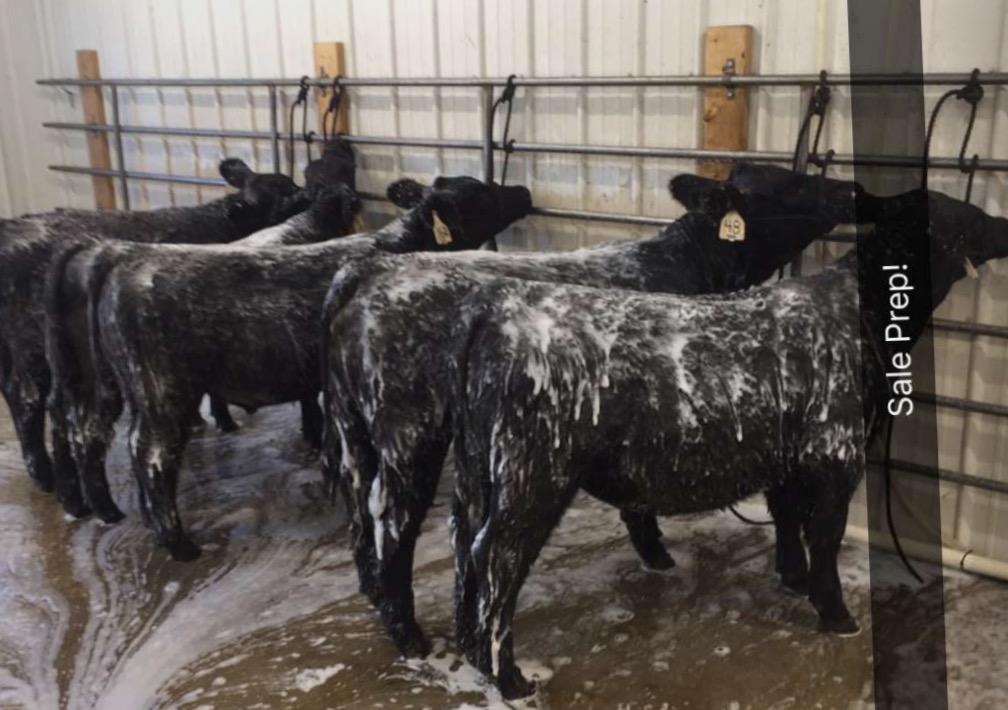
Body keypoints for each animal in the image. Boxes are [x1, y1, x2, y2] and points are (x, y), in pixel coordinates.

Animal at [47, 176, 532, 562]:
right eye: (483, 193)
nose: (523, 192)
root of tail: (122, 259)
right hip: (161, 392)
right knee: (149, 456)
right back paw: (179, 545)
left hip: (107, 383)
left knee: (87, 432)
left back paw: (106, 511)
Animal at [320, 163, 878, 657]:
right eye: (794, 183)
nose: (851, 189)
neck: (682, 264)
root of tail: (367, 269)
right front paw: (655, 552)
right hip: (409, 433)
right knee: (394, 521)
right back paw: (408, 634)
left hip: (356, 429)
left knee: (361, 509)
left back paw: (376, 597)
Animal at [447, 188, 1008, 698]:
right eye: (971, 217)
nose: (1003, 225)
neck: (861, 312)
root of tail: (493, 319)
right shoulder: (835, 453)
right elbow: (825, 537)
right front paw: (836, 614)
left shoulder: (787, 458)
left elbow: (786, 519)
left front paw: (794, 580)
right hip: (533, 471)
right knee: (497, 557)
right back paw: (509, 677)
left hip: (478, 470)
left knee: (466, 547)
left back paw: (470, 652)